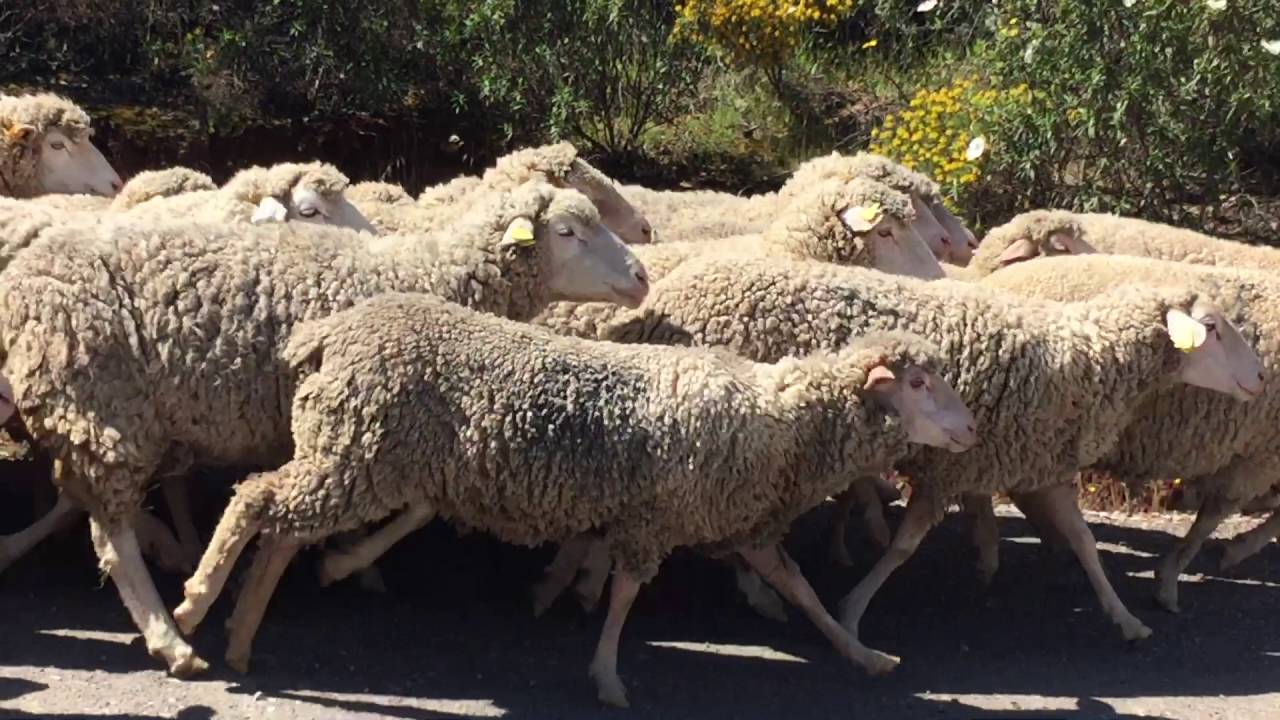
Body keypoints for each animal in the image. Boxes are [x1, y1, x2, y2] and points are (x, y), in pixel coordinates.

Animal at [0, 181, 648, 675]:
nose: (642, 277)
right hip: (103, 404)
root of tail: (25, 279)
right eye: (567, 231)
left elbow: (407, 508)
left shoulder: (384, 425)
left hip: (107, 413)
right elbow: (400, 510)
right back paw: (171, 636)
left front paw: (335, 563)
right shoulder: (369, 421)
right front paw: (337, 564)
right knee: (109, 533)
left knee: (88, 501)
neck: (427, 274)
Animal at [173, 292, 976, 705]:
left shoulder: (740, 522)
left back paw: (242, 634)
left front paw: (862, 653)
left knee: (281, 524)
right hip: (358, 451)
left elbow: (802, 589)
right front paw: (609, 677)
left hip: (354, 455)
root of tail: (331, 332)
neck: (782, 423)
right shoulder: (657, 519)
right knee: (254, 503)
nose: (969, 429)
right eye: (917, 382)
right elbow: (624, 593)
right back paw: (192, 610)